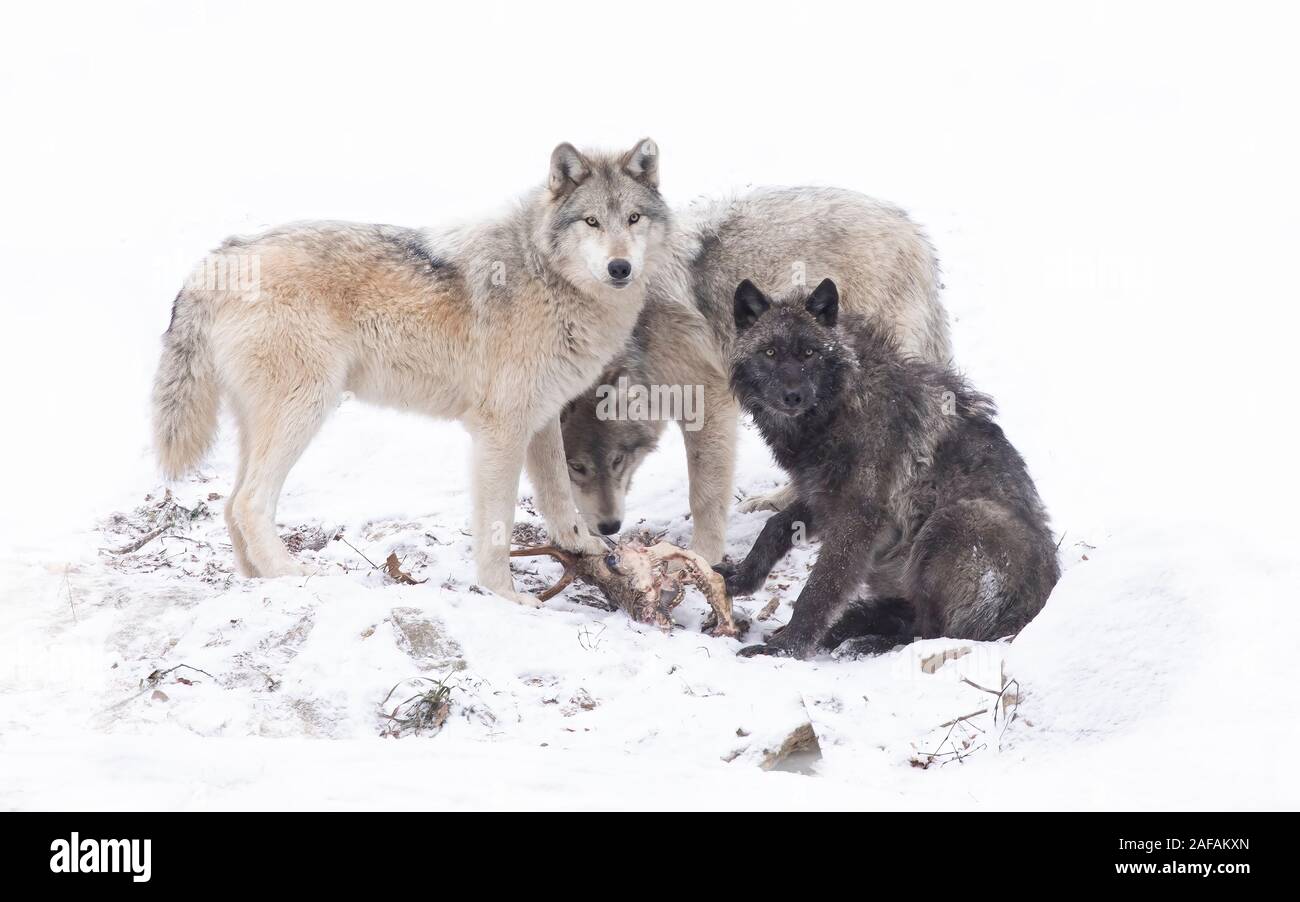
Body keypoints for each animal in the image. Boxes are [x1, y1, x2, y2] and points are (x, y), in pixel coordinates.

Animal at [152, 139, 677, 604]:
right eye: (592, 221)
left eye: (633, 218)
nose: (620, 267)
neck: (548, 276)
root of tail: (215, 260)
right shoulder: (500, 429)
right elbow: (498, 525)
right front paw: (505, 595)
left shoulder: (542, 418)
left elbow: (557, 496)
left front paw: (580, 543)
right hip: (304, 410)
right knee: (249, 502)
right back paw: (290, 575)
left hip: (262, 422)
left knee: (229, 504)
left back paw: (257, 580)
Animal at [559, 187, 951, 562]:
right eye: (575, 467)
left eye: (616, 460)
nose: (607, 528)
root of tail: (911, 229)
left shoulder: (708, 399)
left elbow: (703, 495)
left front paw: (700, 557)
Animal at [719, 278, 1059, 659]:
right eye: (770, 353)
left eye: (809, 353)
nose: (793, 396)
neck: (842, 403)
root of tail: (1030, 613)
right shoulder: (821, 496)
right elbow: (775, 526)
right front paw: (742, 577)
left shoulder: (859, 518)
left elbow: (818, 589)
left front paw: (786, 648)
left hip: (955, 521)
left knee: (932, 632)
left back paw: (866, 641)